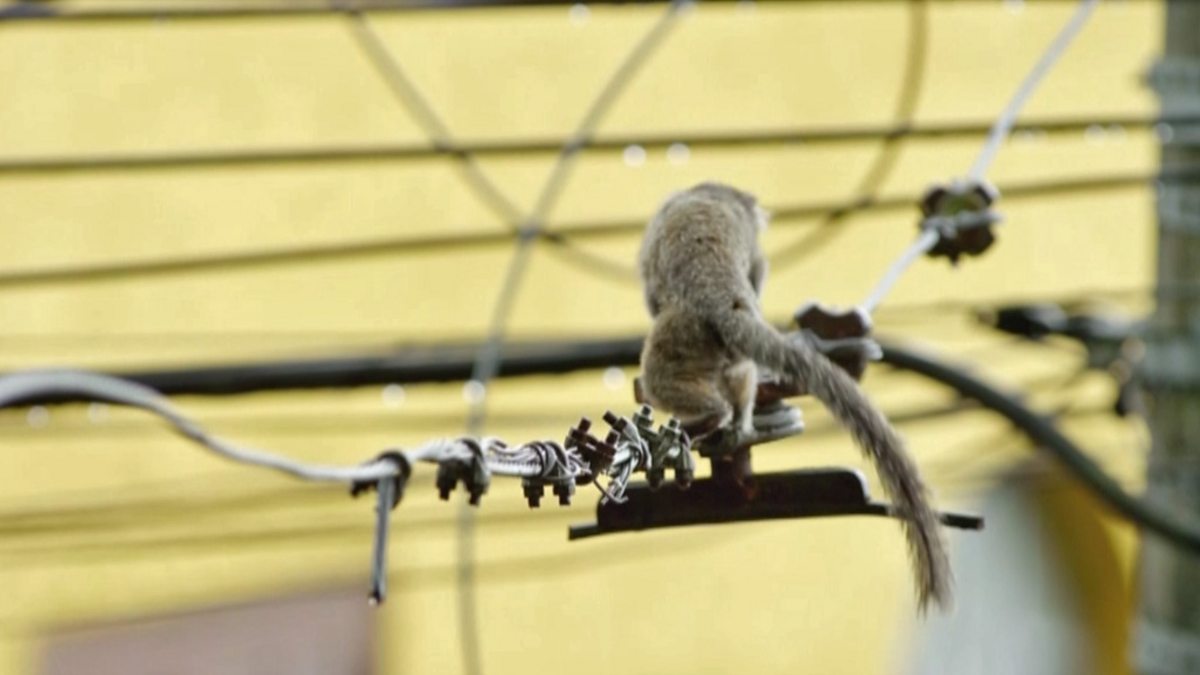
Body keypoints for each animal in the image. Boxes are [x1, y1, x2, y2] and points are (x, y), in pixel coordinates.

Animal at [638, 181, 952, 612]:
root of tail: (720, 296)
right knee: (742, 369)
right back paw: (736, 422)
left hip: (681, 329)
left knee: (661, 375)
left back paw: (714, 415)